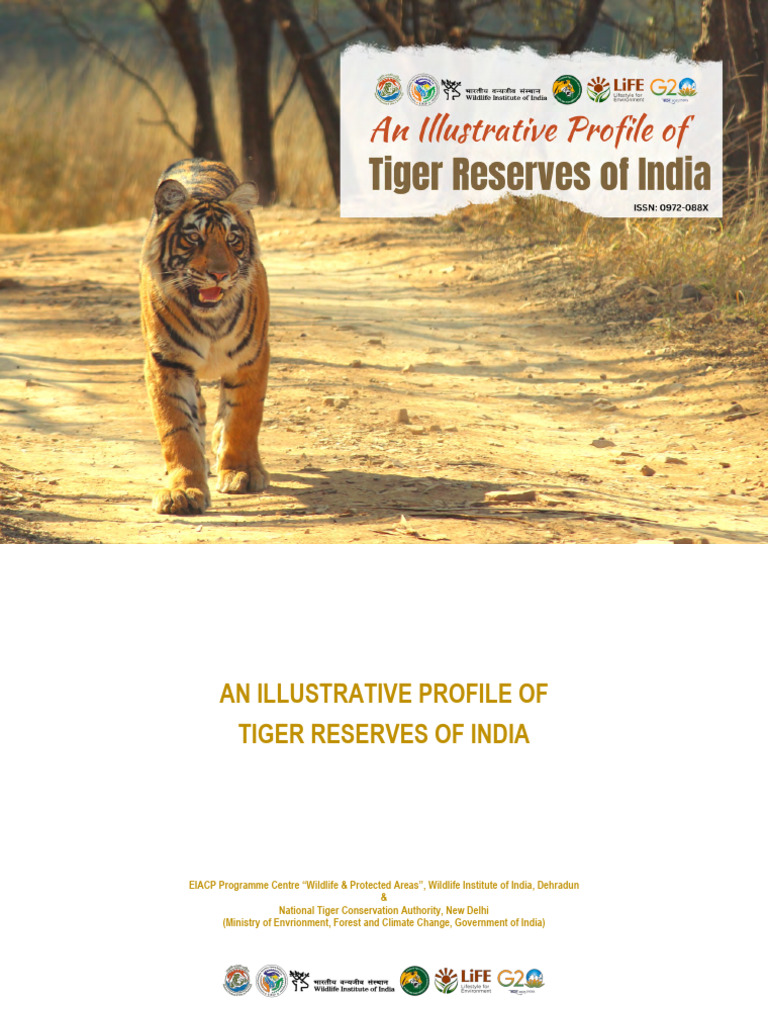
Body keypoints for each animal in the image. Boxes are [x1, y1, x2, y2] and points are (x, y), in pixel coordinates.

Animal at [140, 157, 270, 515]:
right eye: (194, 238)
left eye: (233, 239)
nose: (220, 274)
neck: (209, 321)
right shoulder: (166, 363)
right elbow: (177, 431)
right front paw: (182, 491)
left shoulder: (252, 357)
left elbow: (243, 417)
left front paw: (242, 472)